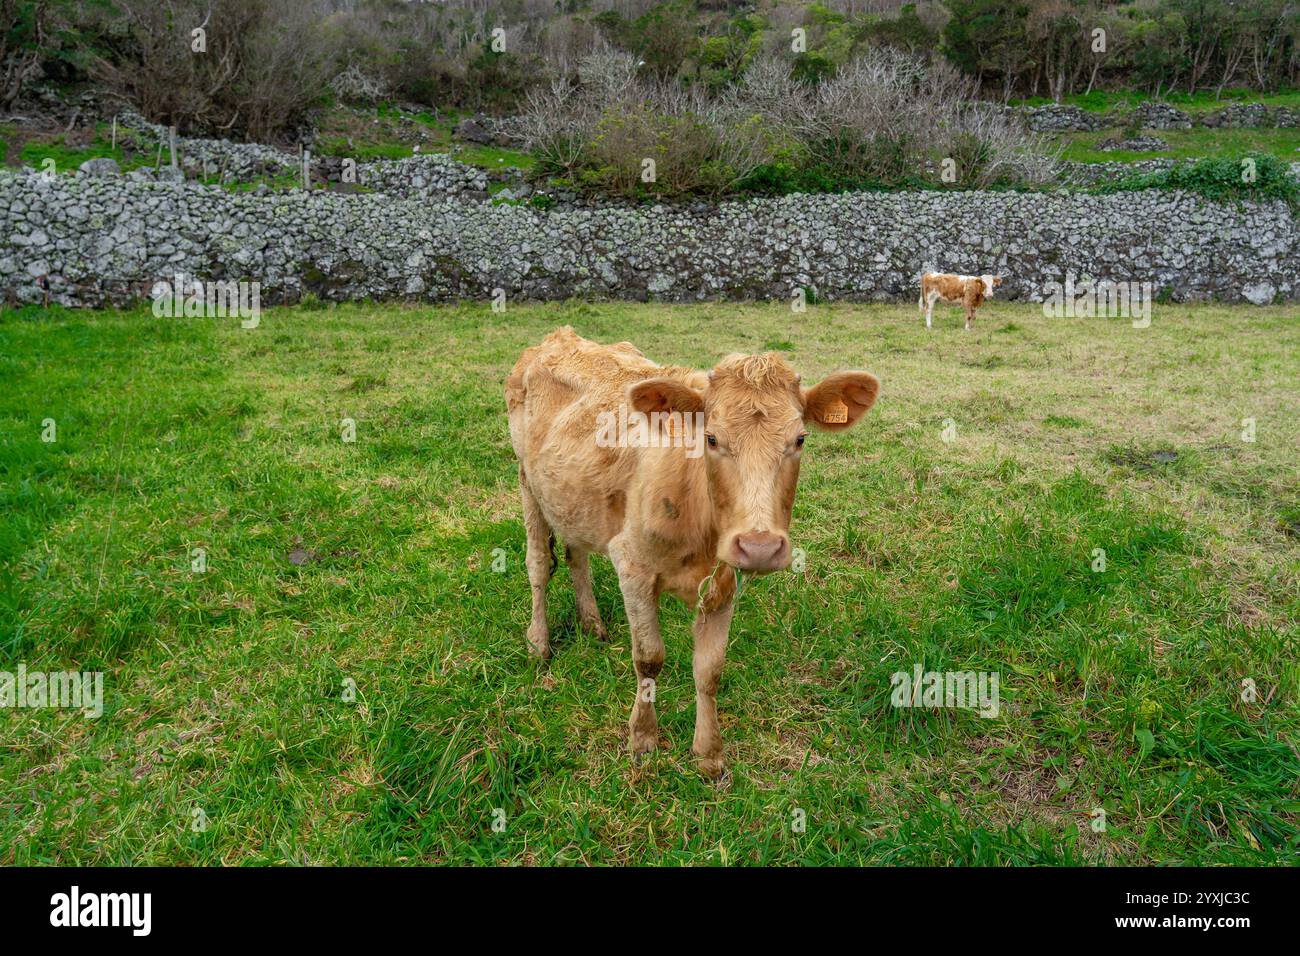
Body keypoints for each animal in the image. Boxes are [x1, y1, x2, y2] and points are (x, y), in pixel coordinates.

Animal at [505, 327, 880, 778]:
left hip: (576, 500)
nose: (760, 546)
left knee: (577, 554)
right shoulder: (632, 566)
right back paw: (539, 644)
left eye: (800, 439)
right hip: (527, 480)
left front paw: (709, 754)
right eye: (712, 437)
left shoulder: (725, 580)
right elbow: (649, 658)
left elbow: (709, 670)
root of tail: (559, 336)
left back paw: (592, 622)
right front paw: (643, 739)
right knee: (538, 566)